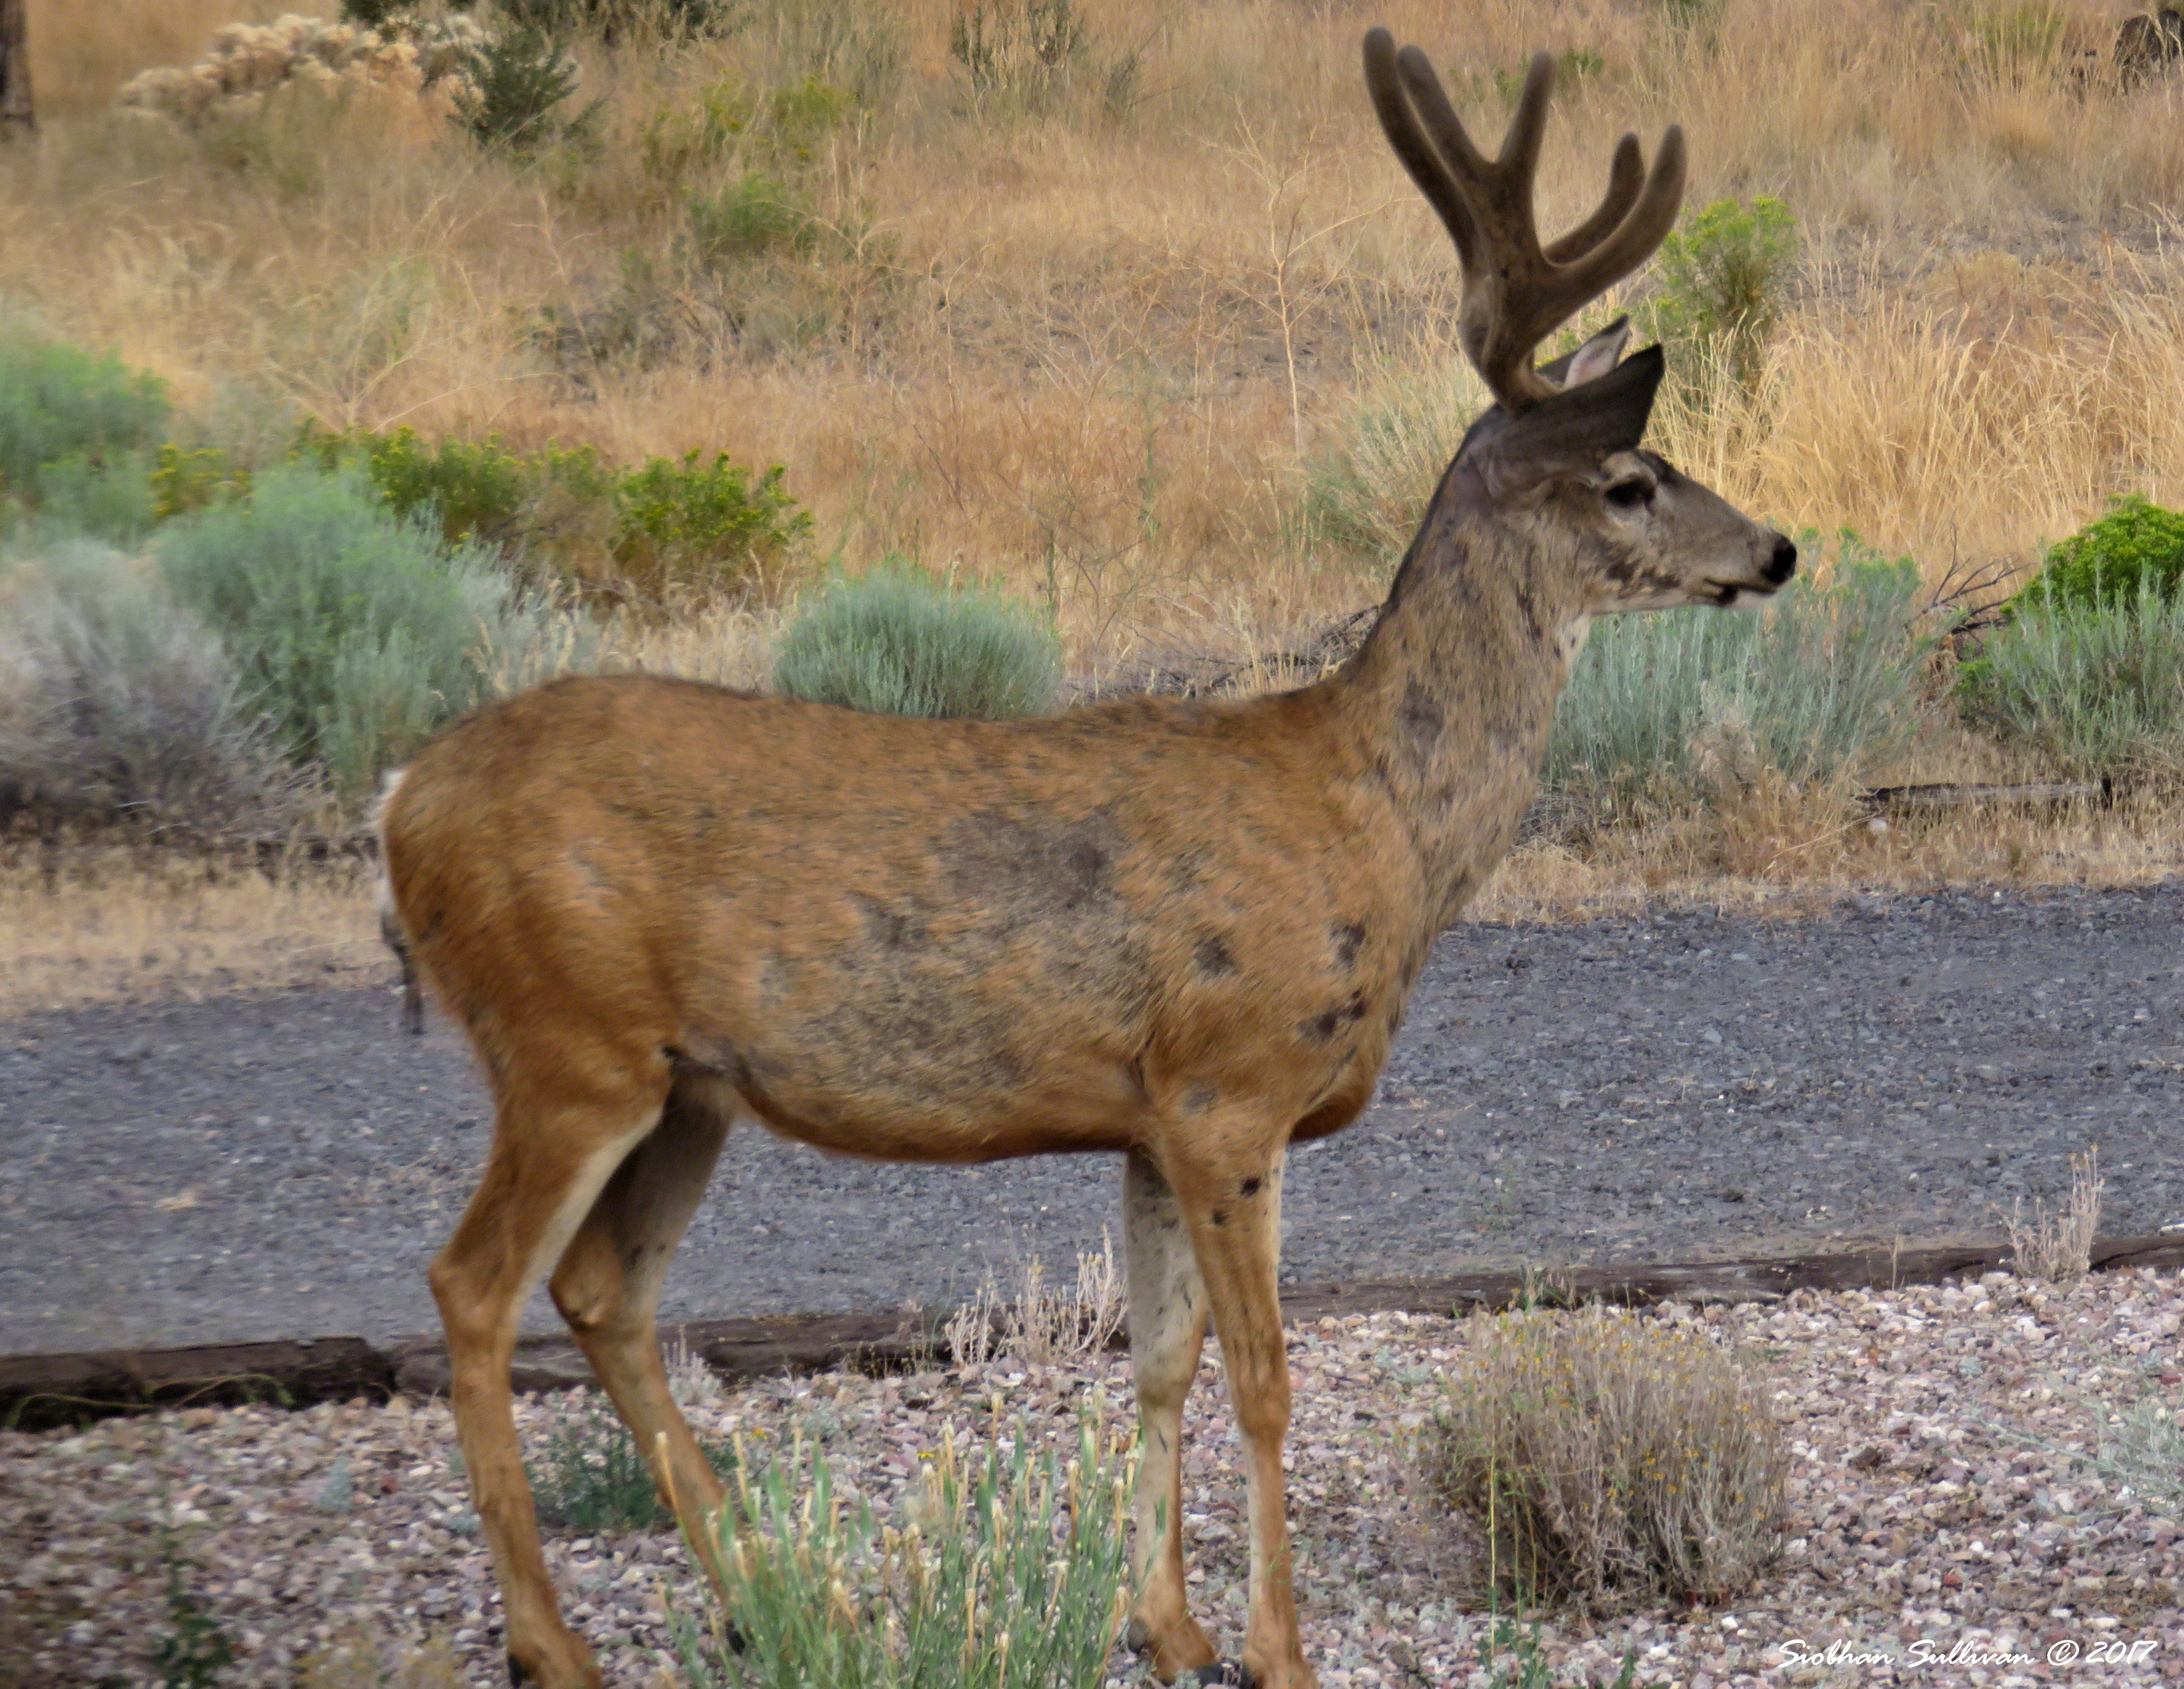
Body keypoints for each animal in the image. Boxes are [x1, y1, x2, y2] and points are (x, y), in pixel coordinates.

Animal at [378, 28, 1796, 1689]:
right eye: (1630, 478)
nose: (1775, 550)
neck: (1369, 815)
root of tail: (399, 799)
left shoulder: (1145, 1113)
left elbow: (1158, 1362)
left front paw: (1166, 1623)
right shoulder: (1230, 1082)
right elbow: (1265, 1373)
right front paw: (1277, 1649)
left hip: (687, 1088)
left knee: (604, 1293)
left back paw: (780, 1604)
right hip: (565, 1044)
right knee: (473, 1288)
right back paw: (559, 1643)